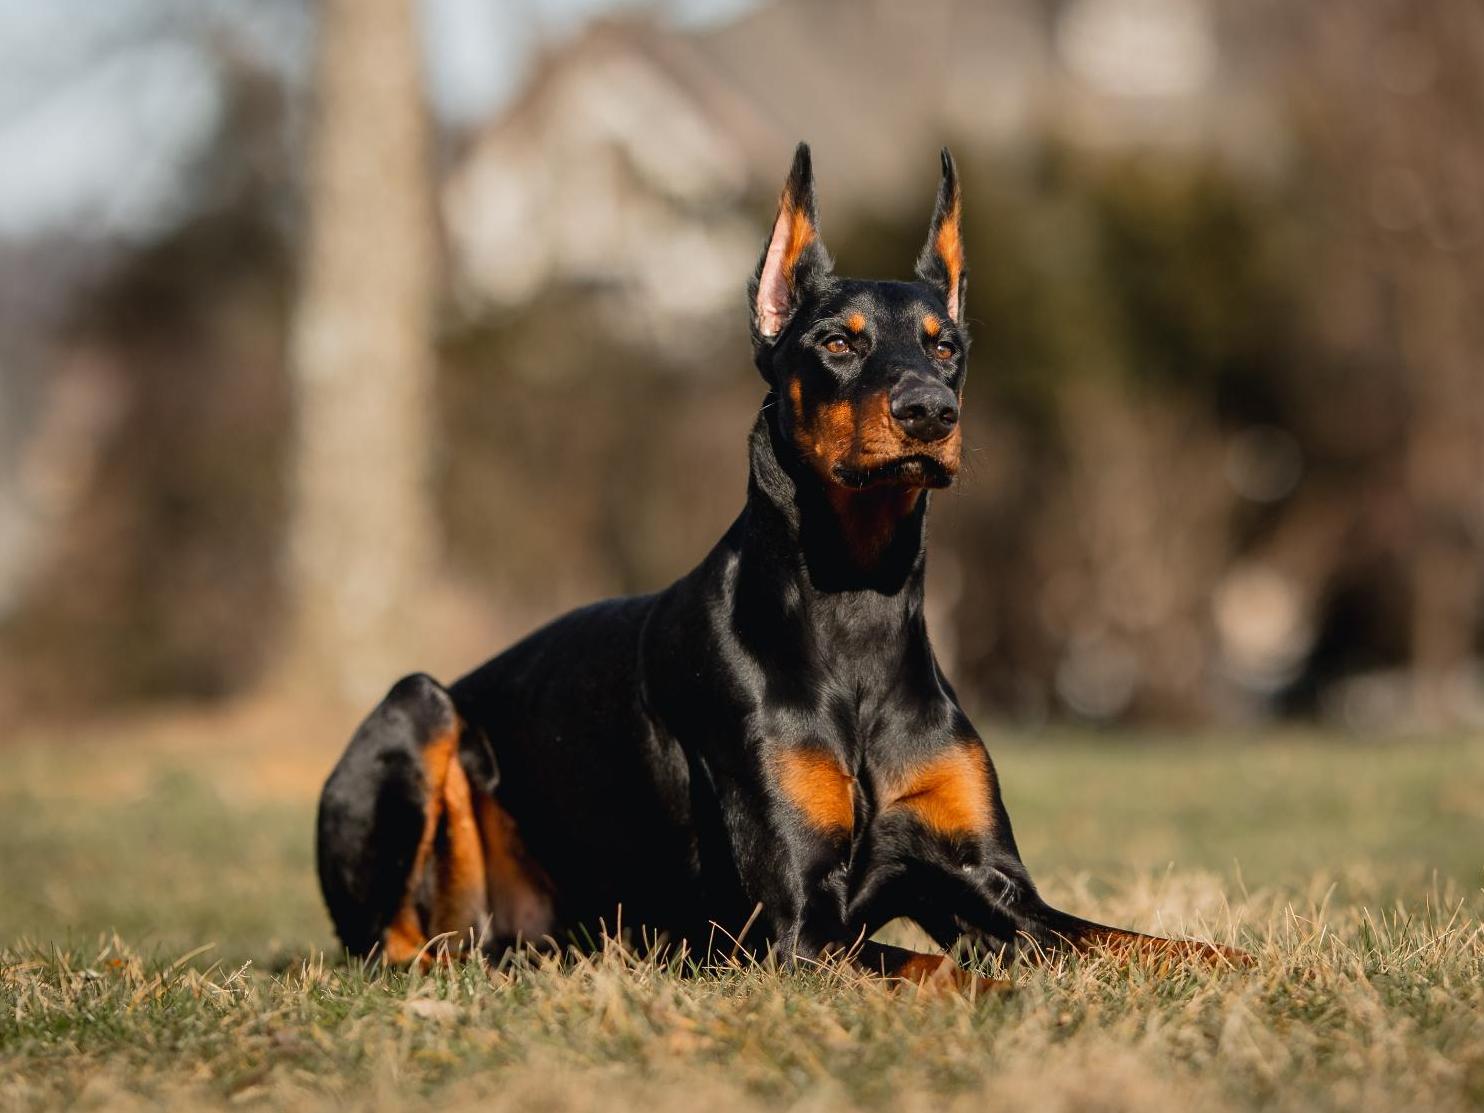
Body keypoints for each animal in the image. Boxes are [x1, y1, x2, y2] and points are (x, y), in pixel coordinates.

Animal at [319, 141, 1246, 991]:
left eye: (946, 347)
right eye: (838, 341)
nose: (930, 413)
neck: (858, 609)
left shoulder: (994, 886)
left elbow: (1155, 944)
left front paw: (1266, 968)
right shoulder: (793, 928)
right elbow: (946, 970)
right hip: (418, 708)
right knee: (391, 944)